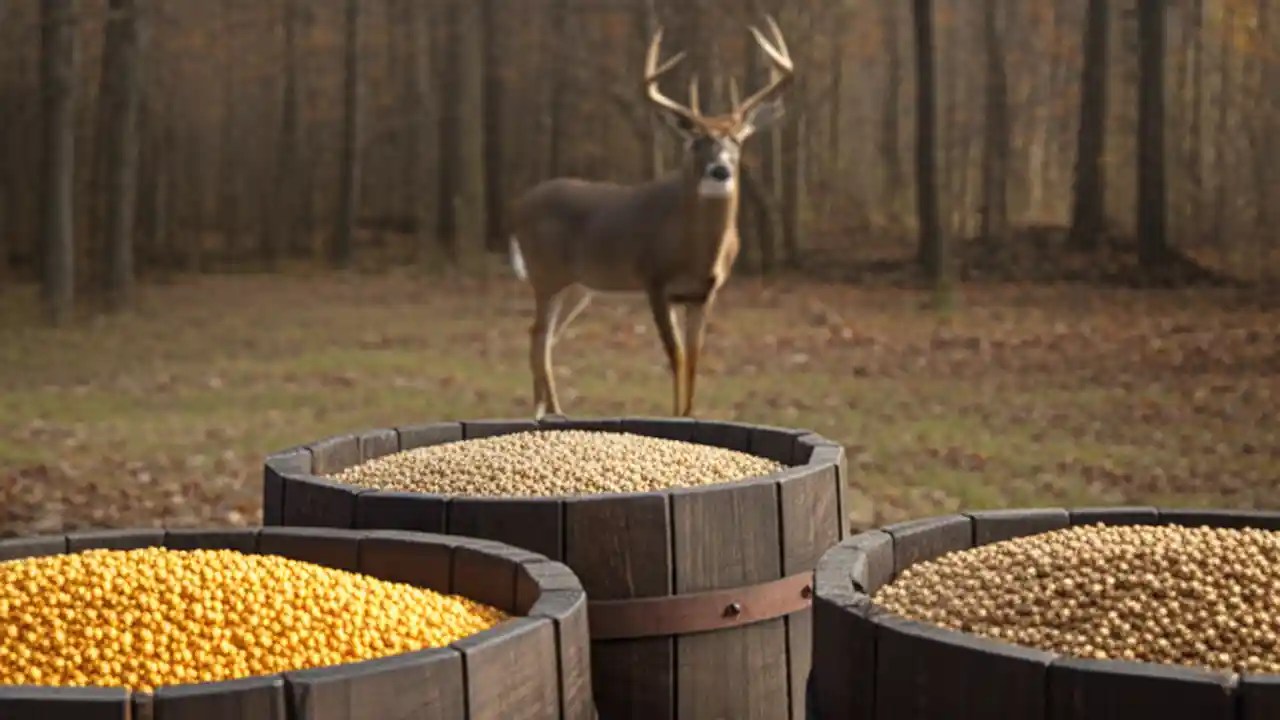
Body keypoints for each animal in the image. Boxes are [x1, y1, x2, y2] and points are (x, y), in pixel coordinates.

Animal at [509, 16, 794, 420]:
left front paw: (689, 415)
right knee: (539, 334)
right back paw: (549, 411)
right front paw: (676, 417)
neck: (695, 251)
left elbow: (694, 359)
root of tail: (518, 206)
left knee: (543, 336)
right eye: (696, 141)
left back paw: (547, 409)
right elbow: (676, 358)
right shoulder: (654, 280)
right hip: (545, 274)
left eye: (737, 140)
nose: (720, 171)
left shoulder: (703, 293)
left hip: (578, 285)